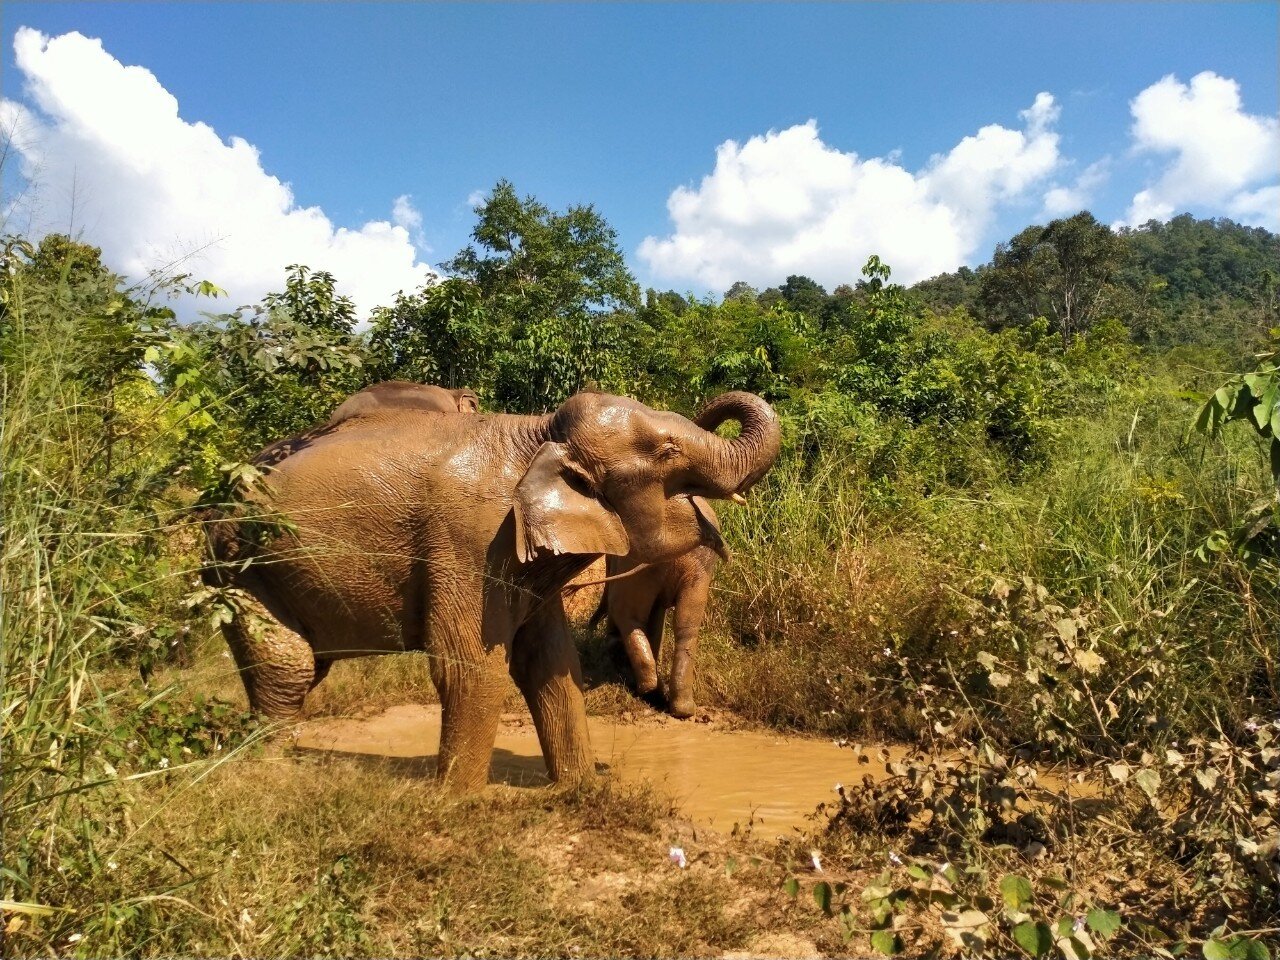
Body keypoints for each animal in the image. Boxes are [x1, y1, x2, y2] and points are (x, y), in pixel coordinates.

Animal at [203, 390, 781, 790]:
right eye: (666, 449)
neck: (538, 434)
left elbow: (550, 660)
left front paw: (578, 789)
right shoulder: (469, 542)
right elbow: (470, 665)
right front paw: (457, 802)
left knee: (300, 669)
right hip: (240, 567)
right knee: (287, 667)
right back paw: (271, 774)